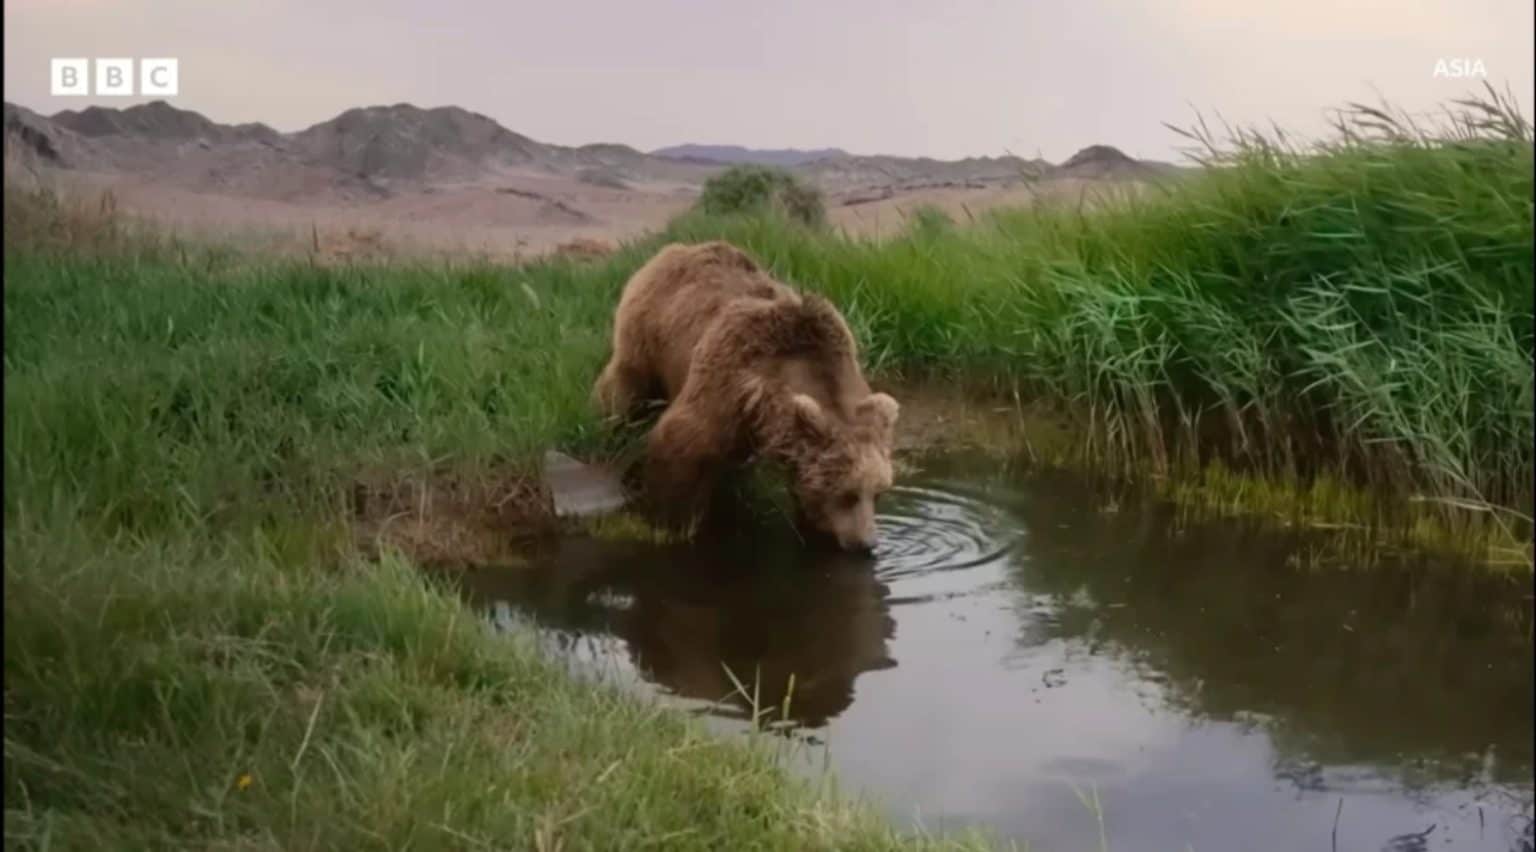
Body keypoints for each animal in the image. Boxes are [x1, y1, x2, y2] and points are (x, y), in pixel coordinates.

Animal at [593, 241, 899, 552]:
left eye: (878, 492)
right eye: (849, 494)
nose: (867, 543)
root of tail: (679, 247)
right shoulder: (728, 380)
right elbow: (681, 444)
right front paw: (670, 526)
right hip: (647, 334)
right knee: (625, 385)